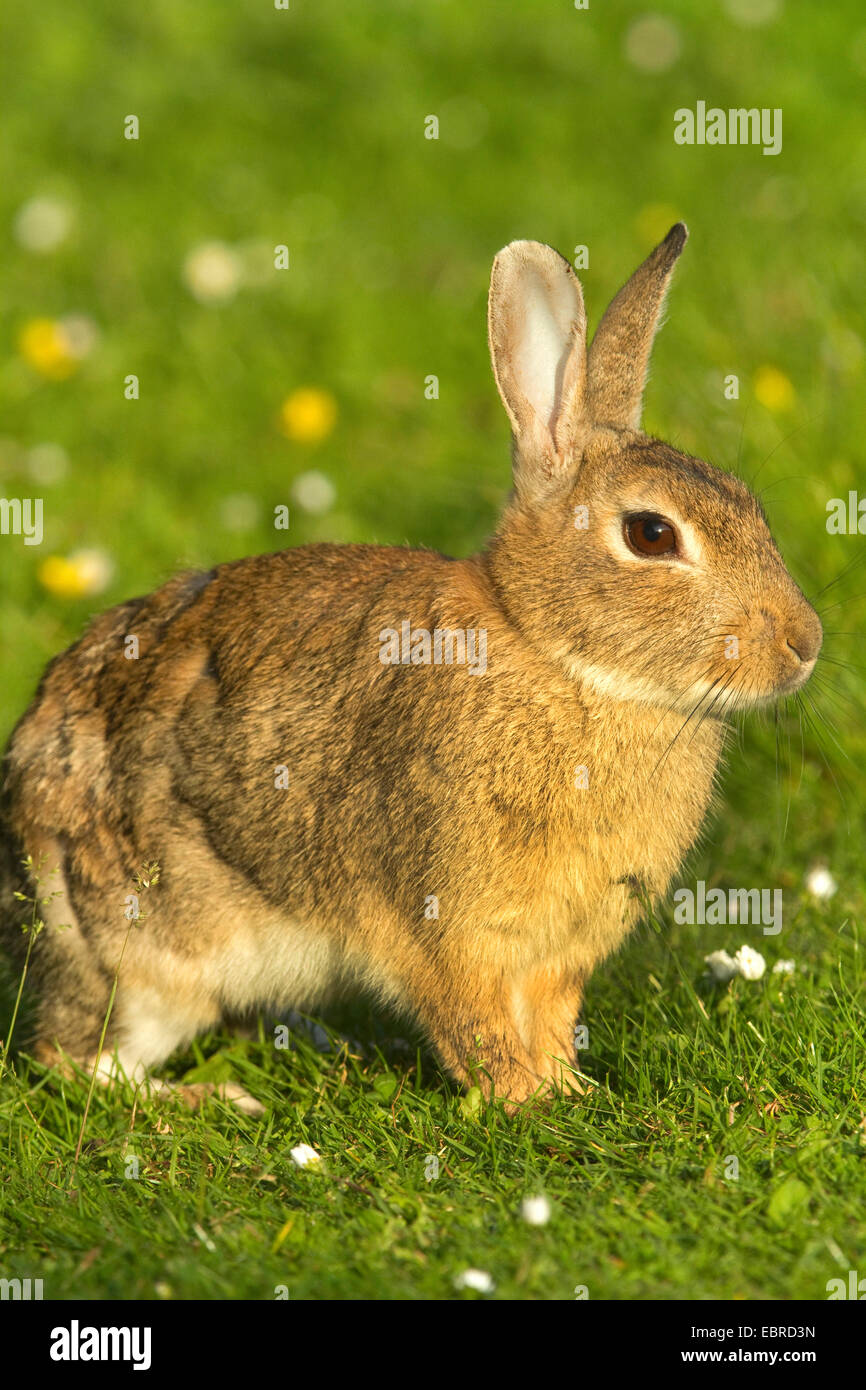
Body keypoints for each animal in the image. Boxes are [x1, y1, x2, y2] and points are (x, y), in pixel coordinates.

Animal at [0, 223, 822, 1111]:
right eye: (651, 534)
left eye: (747, 502)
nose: (805, 643)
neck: (557, 654)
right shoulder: (441, 925)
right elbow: (474, 1022)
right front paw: (523, 1102)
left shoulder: (556, 954)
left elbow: (548, 1018)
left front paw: (570, 1091)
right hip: (134, 951)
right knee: (73, 1061)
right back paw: (211, 1097)